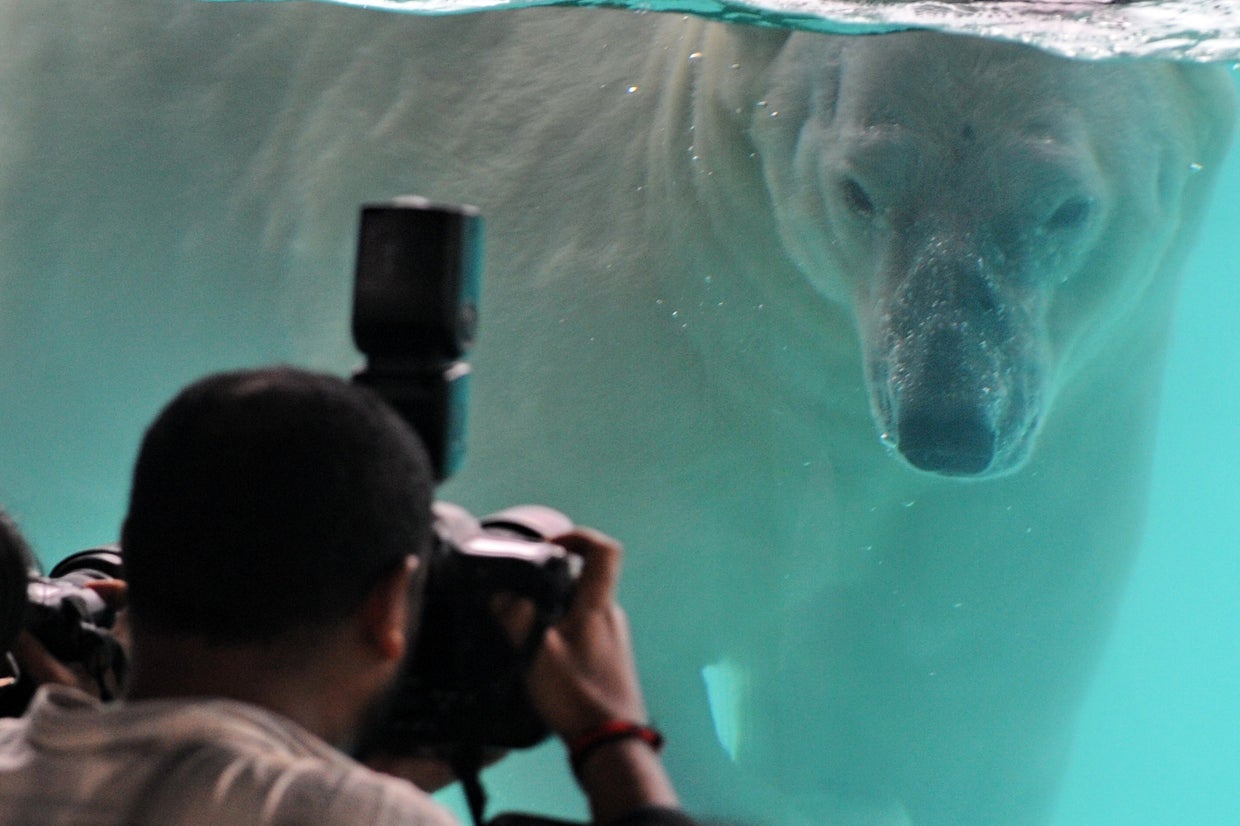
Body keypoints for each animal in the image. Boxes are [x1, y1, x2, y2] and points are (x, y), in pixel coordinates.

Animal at [0, 1, 1233, 824]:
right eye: (861, 188)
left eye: (1065, 207)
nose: (948, 423)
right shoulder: (623, 342)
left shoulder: (1064, 435)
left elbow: (935, 690)